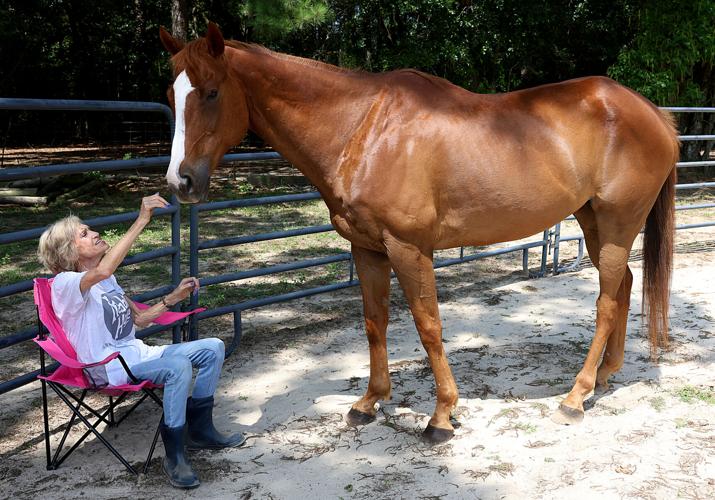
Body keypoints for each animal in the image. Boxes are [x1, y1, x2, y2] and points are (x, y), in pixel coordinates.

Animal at [160, 23, 678, 444]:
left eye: (211, 92)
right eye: (171, 96)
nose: (180, 182)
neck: (362, 130)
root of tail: (654, 113)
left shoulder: (409, 249)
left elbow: (429, 327)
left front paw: (441, 416)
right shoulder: (367, 249)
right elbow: (375, 323)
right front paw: (368, 403)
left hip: (617, 223)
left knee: (607, 300)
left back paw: (575, 397)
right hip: (593, 222)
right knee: (625, 286)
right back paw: (606, 375)